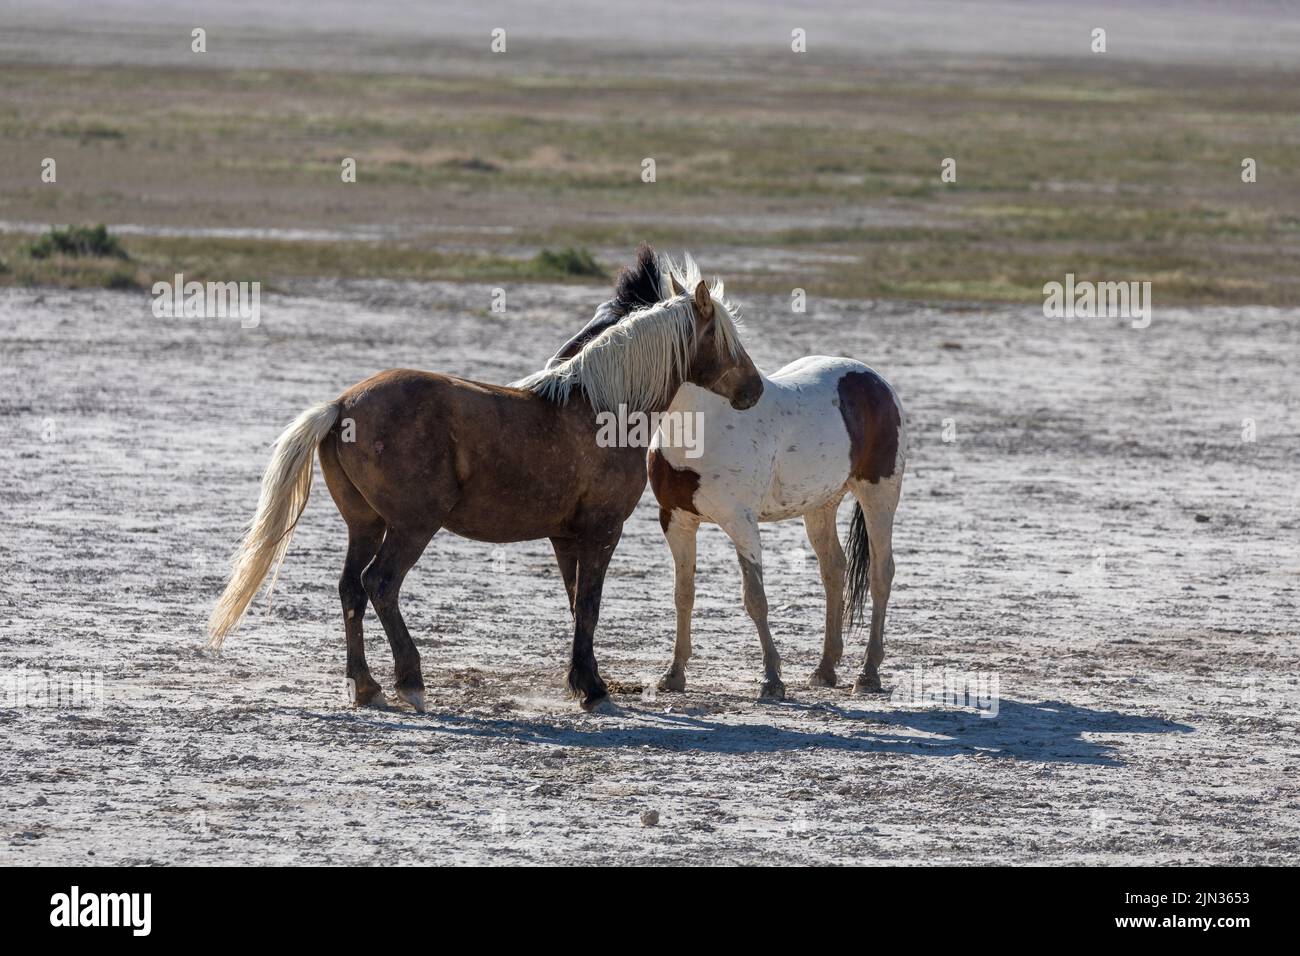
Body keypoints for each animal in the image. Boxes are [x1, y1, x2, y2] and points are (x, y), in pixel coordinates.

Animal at [206, 252, 763, 711]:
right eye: (725, 340)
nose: (754, 389)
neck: (601, 407)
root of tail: (342, 404)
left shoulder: (566, 537)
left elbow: (576, 603)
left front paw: (580, 680)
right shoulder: (603, 530)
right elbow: (589, 604)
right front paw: (593, 689)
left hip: (364, 524)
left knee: (350, 590)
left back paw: (365, 686)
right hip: (411, 527)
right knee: (379, 584)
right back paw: (410, 680)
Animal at [546, 245, 906, 700]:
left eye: (619, 320)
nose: (559, 361)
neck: (701, 429)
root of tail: (872, 380)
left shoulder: (741, 523)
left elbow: (755, 598)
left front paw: (771, 679)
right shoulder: (677, 521)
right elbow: (683, 594)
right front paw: (674, 675)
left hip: (879, 495)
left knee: (881, 573)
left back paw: (868, 673)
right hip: (820, 505)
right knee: (834, 571)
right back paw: (825, 669)